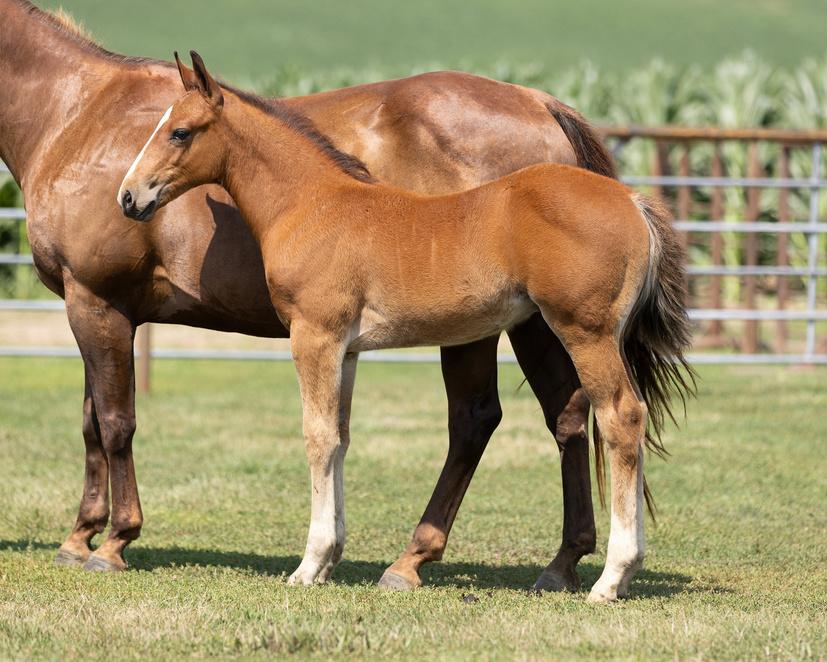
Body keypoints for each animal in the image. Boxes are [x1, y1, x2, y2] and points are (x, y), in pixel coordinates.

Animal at [2, 0, 617, 591]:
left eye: (178, 133)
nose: (129, 198)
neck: (75, 113)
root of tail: (539, 103)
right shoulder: (101, 308)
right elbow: (92, 420)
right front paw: (80, 535)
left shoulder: (95, 302)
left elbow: (115, 421)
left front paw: (113, 541)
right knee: (566, 413)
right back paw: (562, 561)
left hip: (499, 325)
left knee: (477, 419)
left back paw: (415, 559)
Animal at [118, 52, 692, 603]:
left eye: (179, 131)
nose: (128, 196)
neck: (313, 204)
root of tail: (632, 201)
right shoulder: (346, 350)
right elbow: (342, 437)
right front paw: (329, 562)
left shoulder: (315, 335)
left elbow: (317, 436)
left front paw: (308, 566)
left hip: (584, 331)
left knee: (620, 417)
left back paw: (611, 578)